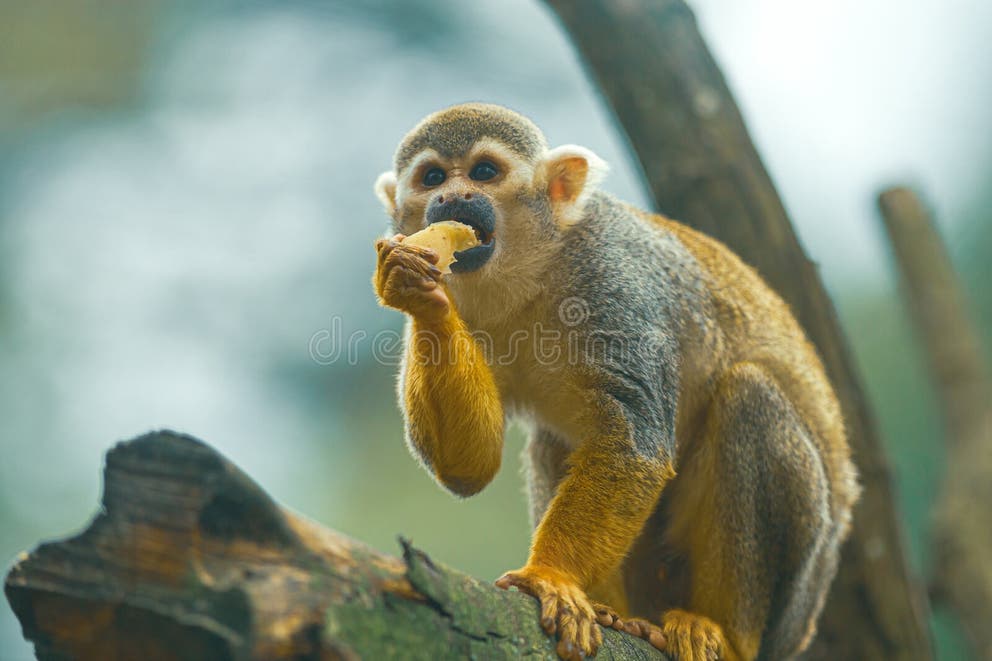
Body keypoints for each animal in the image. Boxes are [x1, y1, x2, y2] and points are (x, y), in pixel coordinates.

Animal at [371, 103, 859, 661]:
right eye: (432, 178)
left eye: (484, 172)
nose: (453, 197)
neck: (531, 266)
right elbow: (468, 468)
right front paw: (414, 286)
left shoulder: (612, 276)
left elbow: (634, 444)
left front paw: (549, 576)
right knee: (552, 441)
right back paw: (611, 611)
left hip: (797, 589)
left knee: (749, 396)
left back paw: (726, 634)